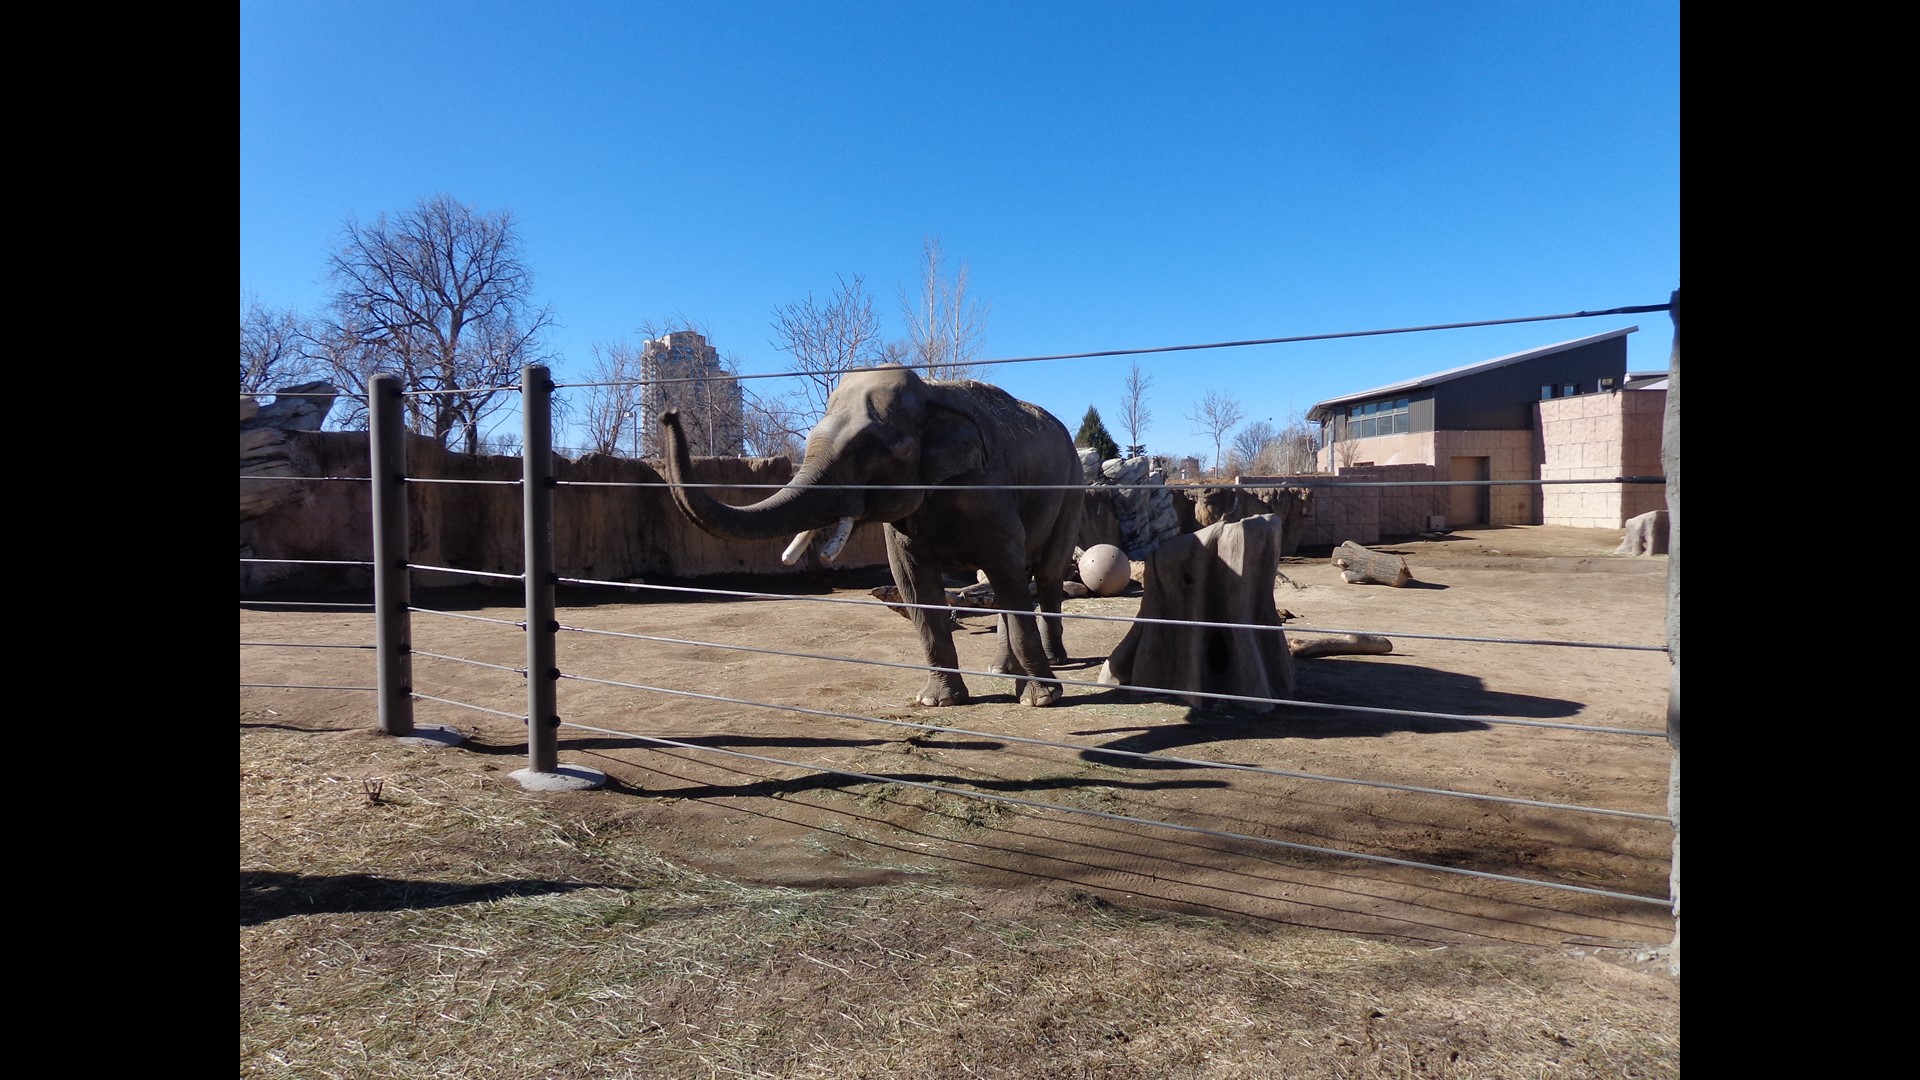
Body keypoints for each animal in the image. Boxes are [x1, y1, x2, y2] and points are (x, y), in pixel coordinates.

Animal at [661, 364, 1084, 707]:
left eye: (868, 448)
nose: (669, 413)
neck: (931, 394)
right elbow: (913, 583)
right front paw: (936, 701)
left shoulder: (988, 489)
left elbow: (1006, 569)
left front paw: (1041, 700)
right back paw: (1000, 669)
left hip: (1071, 487)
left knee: (1046, 575)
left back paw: (1054, 661)